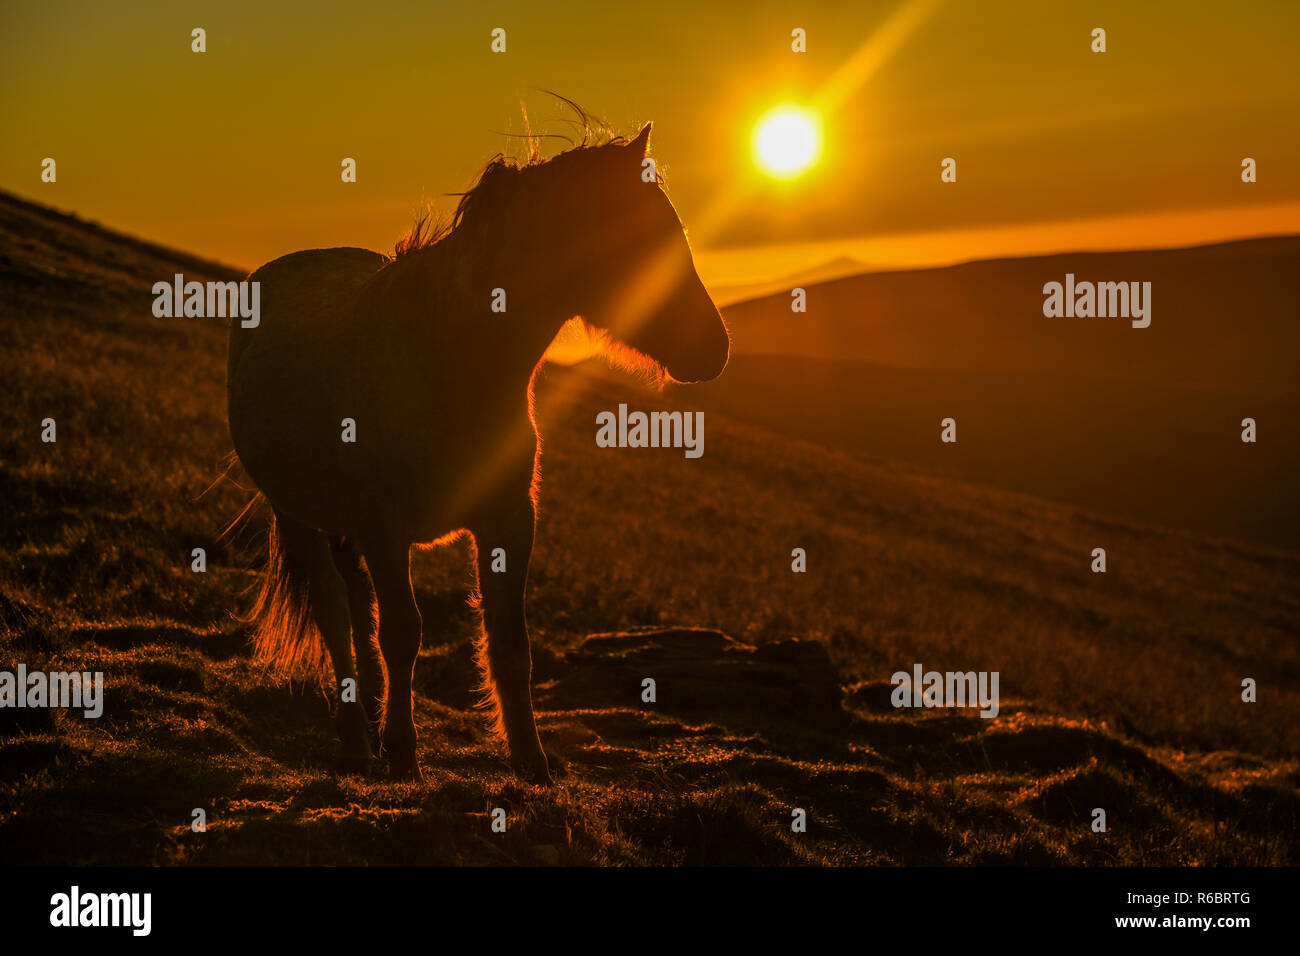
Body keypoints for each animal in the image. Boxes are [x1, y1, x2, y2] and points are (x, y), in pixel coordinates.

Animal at [226, 122, 729, 783]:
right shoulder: (385, 530)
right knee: (337, 614)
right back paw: (359, 740)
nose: (715, 348)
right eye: (641, 236)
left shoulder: (508, 521)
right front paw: (404, 755)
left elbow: (510, 644)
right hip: (298, 514)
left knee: (357, 611)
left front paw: (532, 765)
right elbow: (404, 635)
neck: (449, 358)